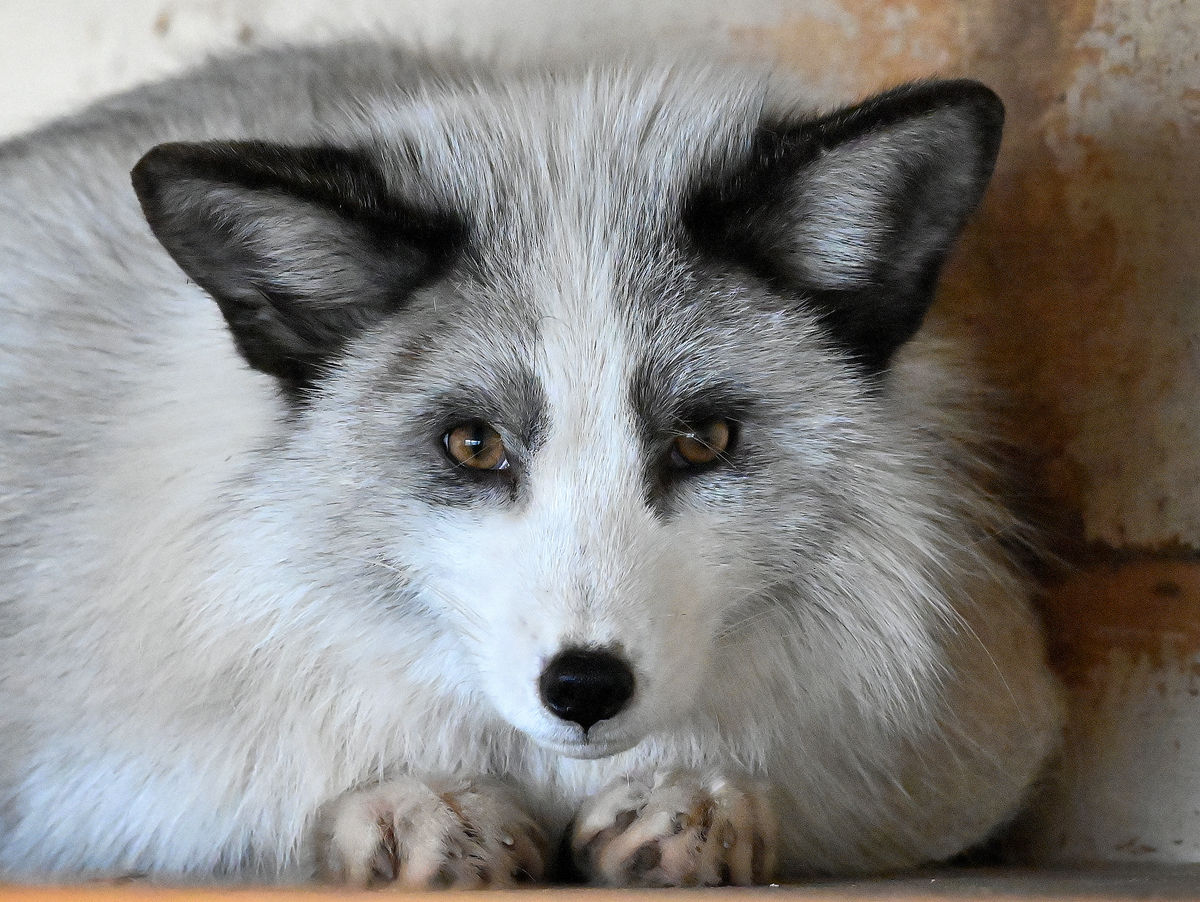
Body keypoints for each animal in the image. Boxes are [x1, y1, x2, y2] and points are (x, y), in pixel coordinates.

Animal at [0, 42, 1063, 886]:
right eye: (474, 445)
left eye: (702, 439)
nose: (585, 688)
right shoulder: (83, 770)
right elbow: (258, 793)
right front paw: (410, 801)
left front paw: (699, 794)